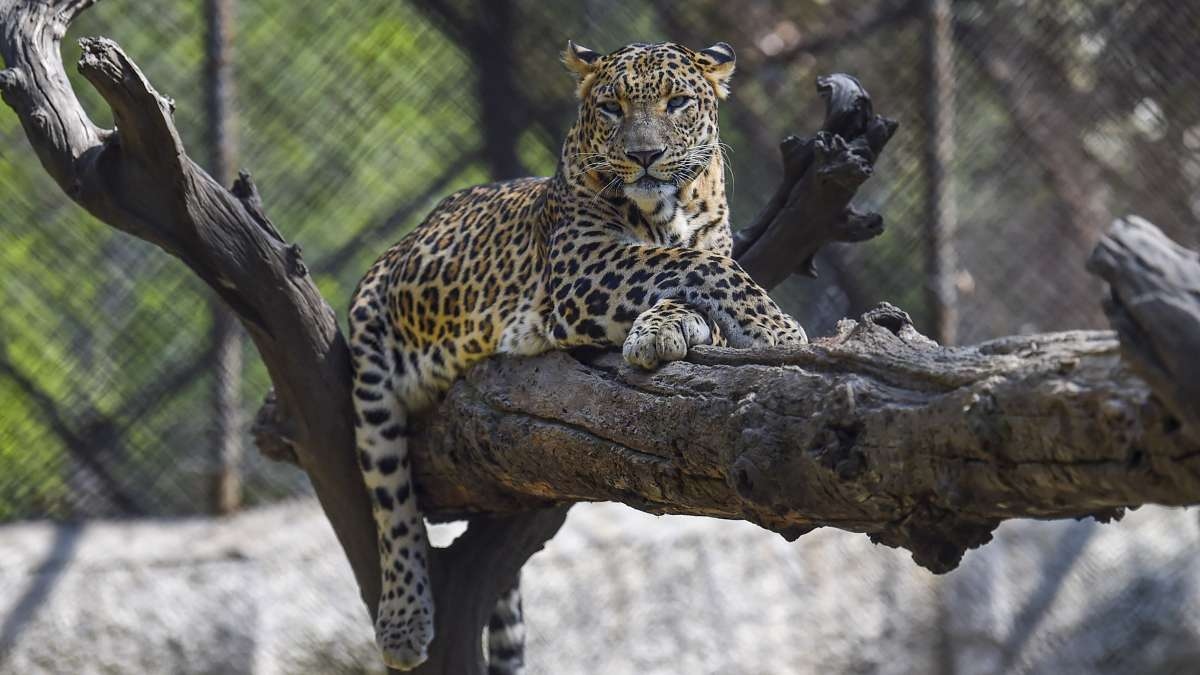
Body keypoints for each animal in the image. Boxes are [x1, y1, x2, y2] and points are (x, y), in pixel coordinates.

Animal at [348, 39, 807, 670]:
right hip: (369, 355)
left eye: (678, 102)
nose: (644, 155)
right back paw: (403, 621)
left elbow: (694, 271)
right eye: (612, 108)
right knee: (390, 501)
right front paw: (779, 329)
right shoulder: (581, 268)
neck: (667, 214)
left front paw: (663, 328)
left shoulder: (694, 246)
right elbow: (696, 267)